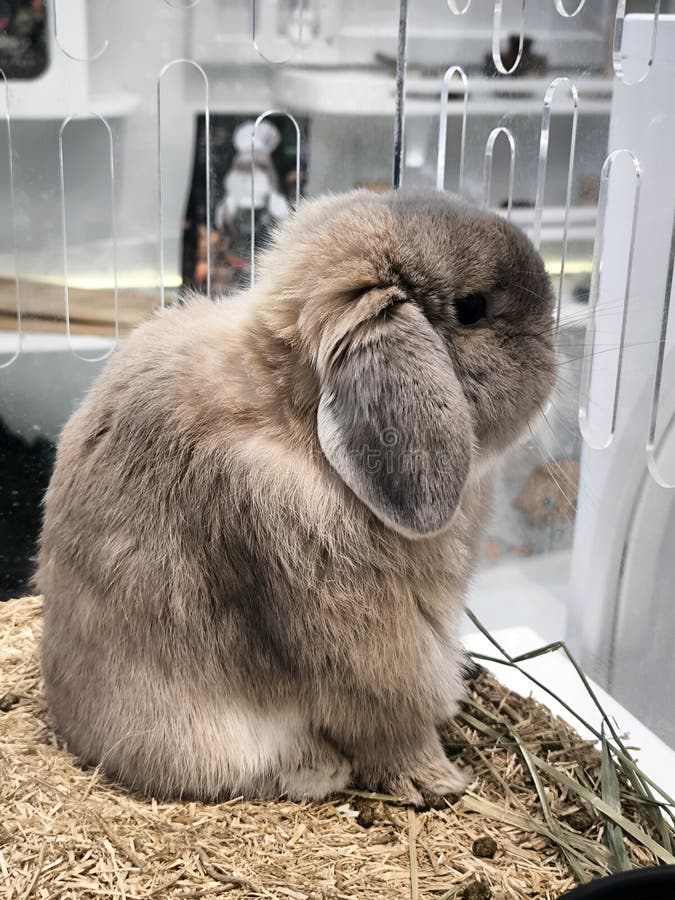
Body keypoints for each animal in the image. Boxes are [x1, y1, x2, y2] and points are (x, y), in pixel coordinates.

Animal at [36, 188, 555, 805]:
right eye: (473, 308)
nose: (554, 341)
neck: (298, 417)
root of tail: (72, 729)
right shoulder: (381, 653)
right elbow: (395, 730)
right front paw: (441, 781)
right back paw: (322, 769)